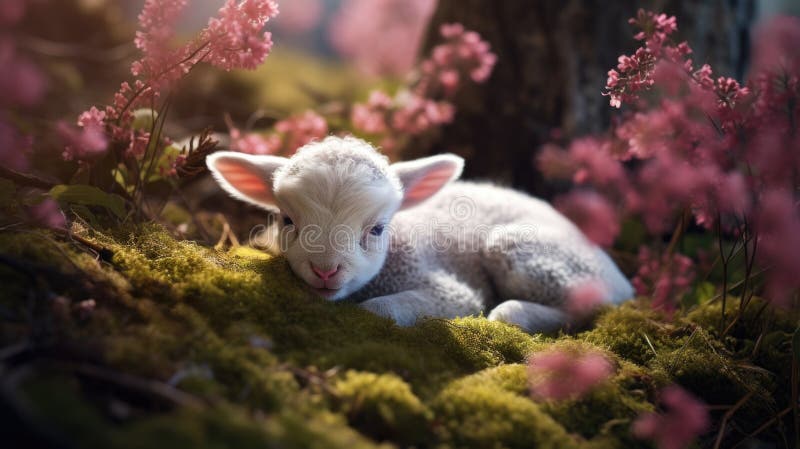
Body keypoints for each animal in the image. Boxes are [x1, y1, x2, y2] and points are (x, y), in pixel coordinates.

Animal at [206, 136, 633, 333]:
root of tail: (623, 279)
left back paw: (515, 313)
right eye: (287, 220)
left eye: (377, 228)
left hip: (537, 255)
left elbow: (380, 309)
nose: (326, 270)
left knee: (585, 304)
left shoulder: (451, 291)